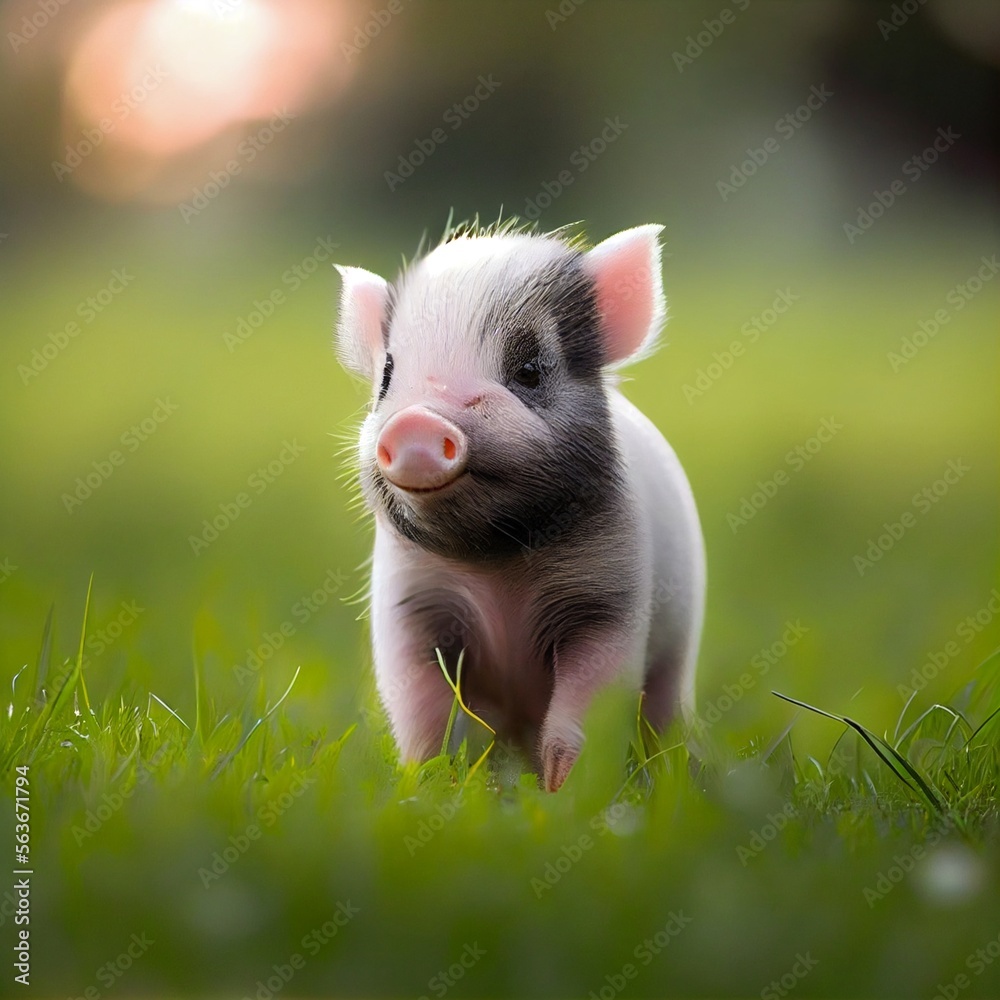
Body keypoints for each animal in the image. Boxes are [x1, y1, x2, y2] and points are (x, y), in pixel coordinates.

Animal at [335, 222, 705, 790]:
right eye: (388, 375)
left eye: (529, 369)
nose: (416, 421)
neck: (497, 566)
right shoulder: (409, 605)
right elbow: (427, 716)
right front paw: (434, 786)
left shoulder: (610, 600)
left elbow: (585, 710)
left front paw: (563, 794)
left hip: (678, 653)